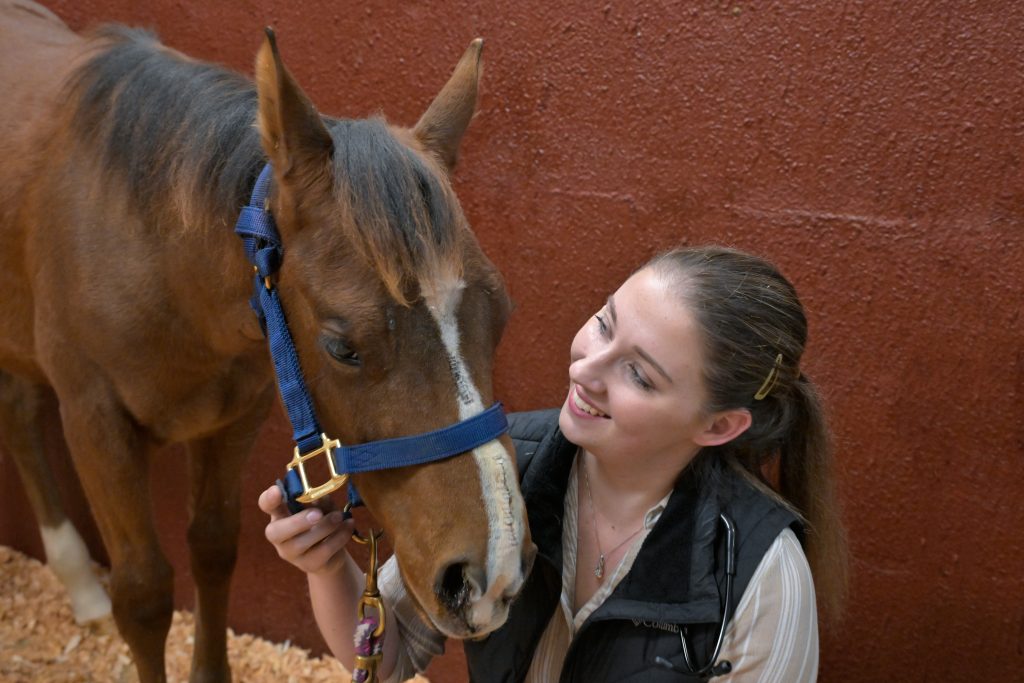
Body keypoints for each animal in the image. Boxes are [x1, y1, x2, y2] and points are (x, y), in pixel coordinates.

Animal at [0, 1, 533, 680]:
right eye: (342, 347)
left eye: (502, 312)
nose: (490, 578)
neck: (148, 247)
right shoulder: (95, 423)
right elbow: (144, 595)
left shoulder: (238, 415)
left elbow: (213, 549)